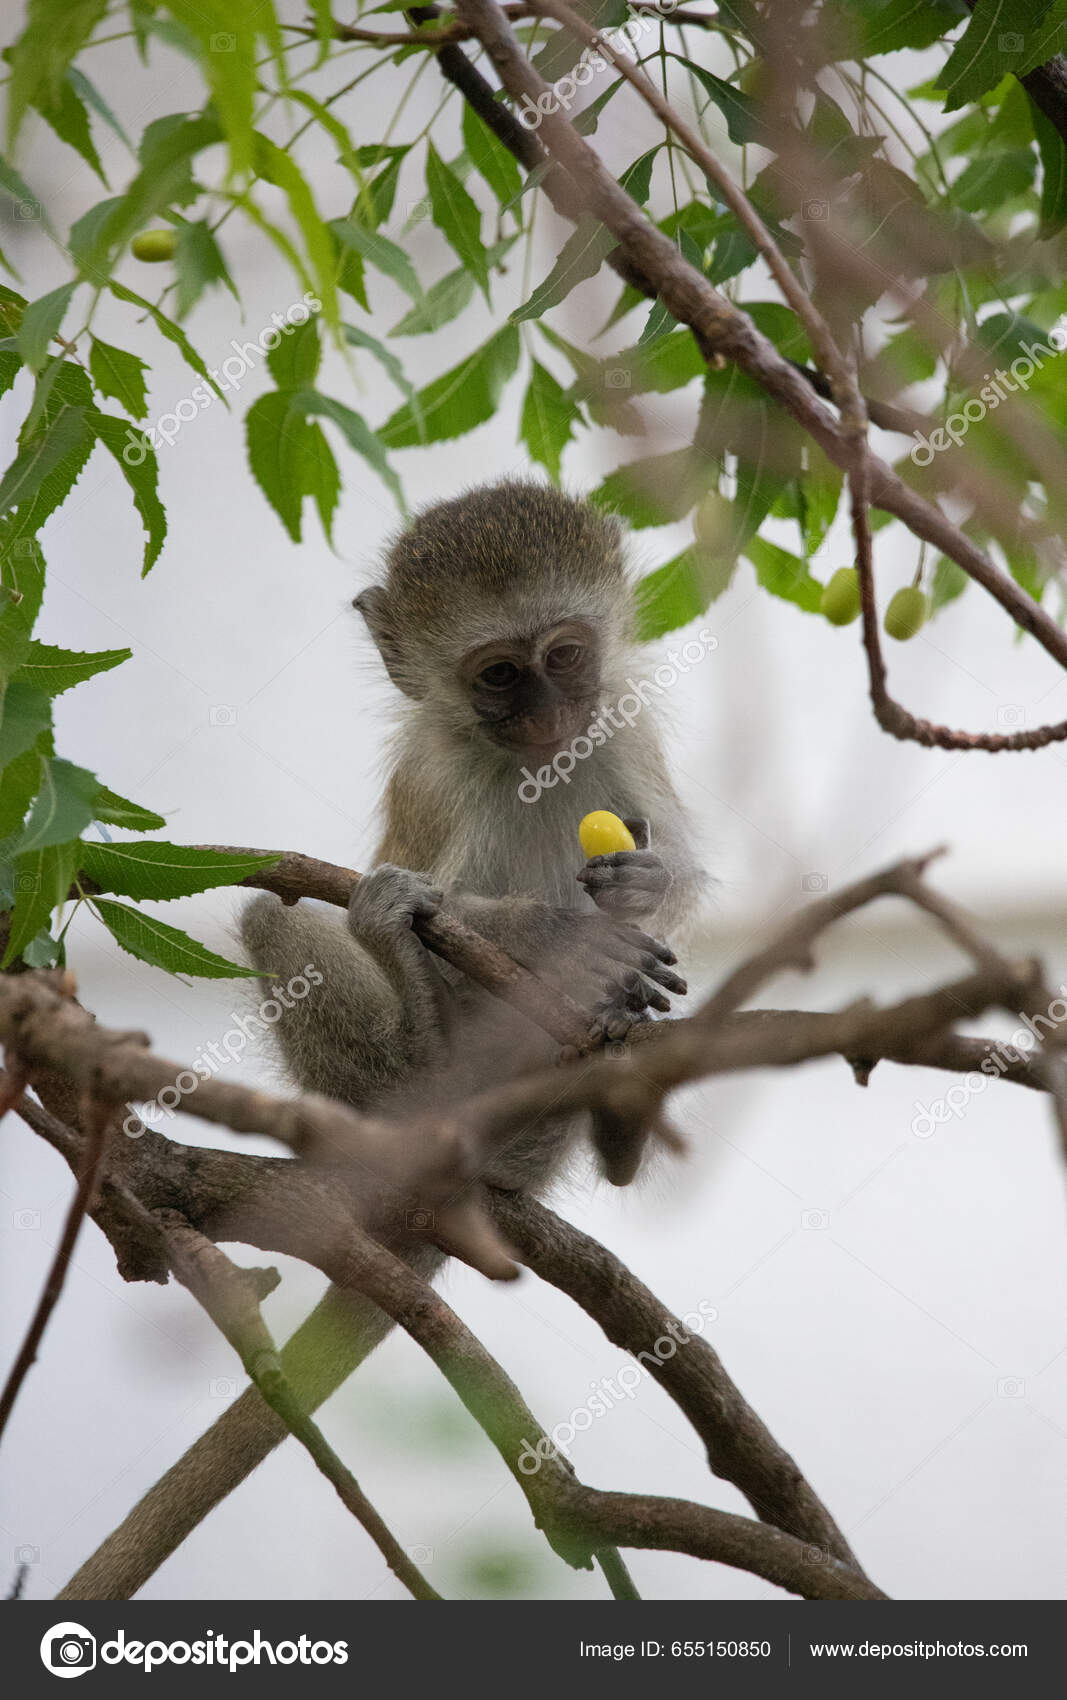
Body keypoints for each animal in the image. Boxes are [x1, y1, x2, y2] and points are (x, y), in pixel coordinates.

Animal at [58, 481, 708, 1599]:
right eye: (498, 675)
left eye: (565, 654)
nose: (548, 714)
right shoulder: (437, 777)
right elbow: (445, 905)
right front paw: (553, 935)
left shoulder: (622, 737)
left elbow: (679, 875)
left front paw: (633, 900)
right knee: (289, 920)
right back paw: (419, 1015)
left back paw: (617, 1112)